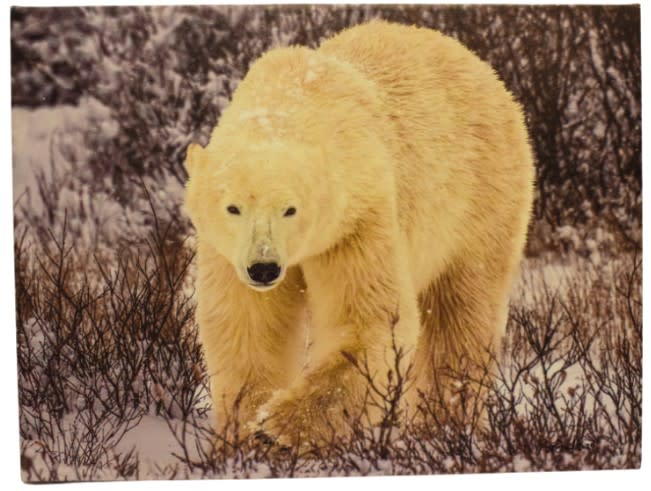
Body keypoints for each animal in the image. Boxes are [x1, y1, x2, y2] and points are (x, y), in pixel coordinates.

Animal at [184, 20, 534, 446]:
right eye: (233, 207)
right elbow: (247, 325)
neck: (296, 94)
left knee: (461, 310)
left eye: (290, 208)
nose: (264, 268)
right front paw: (245, 426)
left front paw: (279, 427)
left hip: (480, 201)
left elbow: (371, 320)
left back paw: (442, 423)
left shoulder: (358, 219)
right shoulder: (226, 252)